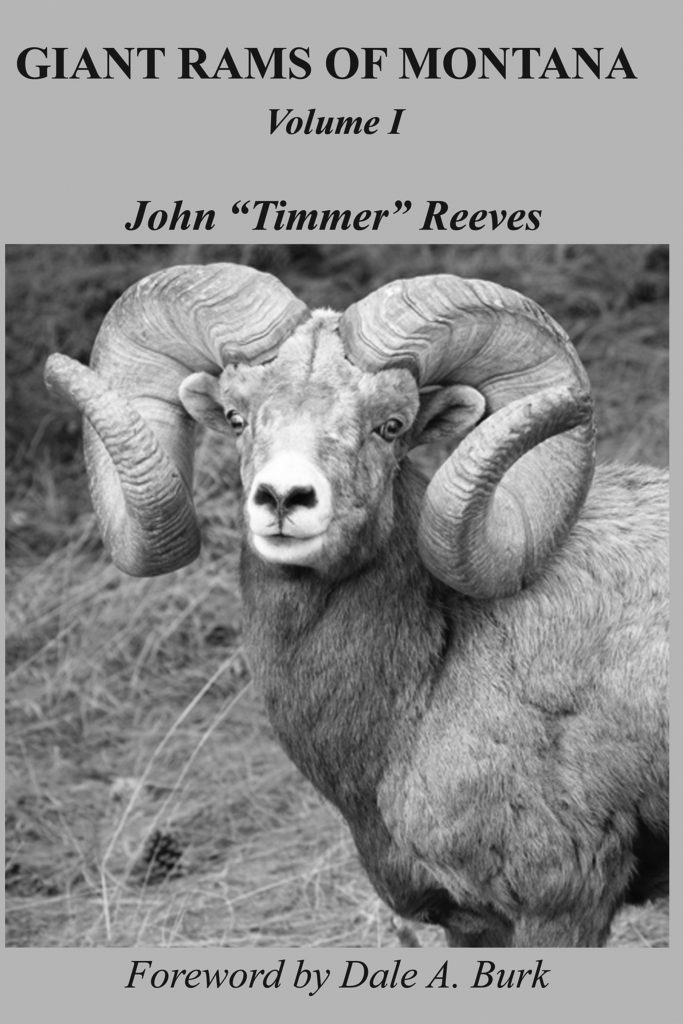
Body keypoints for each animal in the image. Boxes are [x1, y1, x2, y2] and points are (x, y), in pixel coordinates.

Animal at [44, 262, 668, 947]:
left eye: (390, 425)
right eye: (237, 417)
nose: (283, 498)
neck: (433, 670)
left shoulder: (560, 907)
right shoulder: (471, 925)